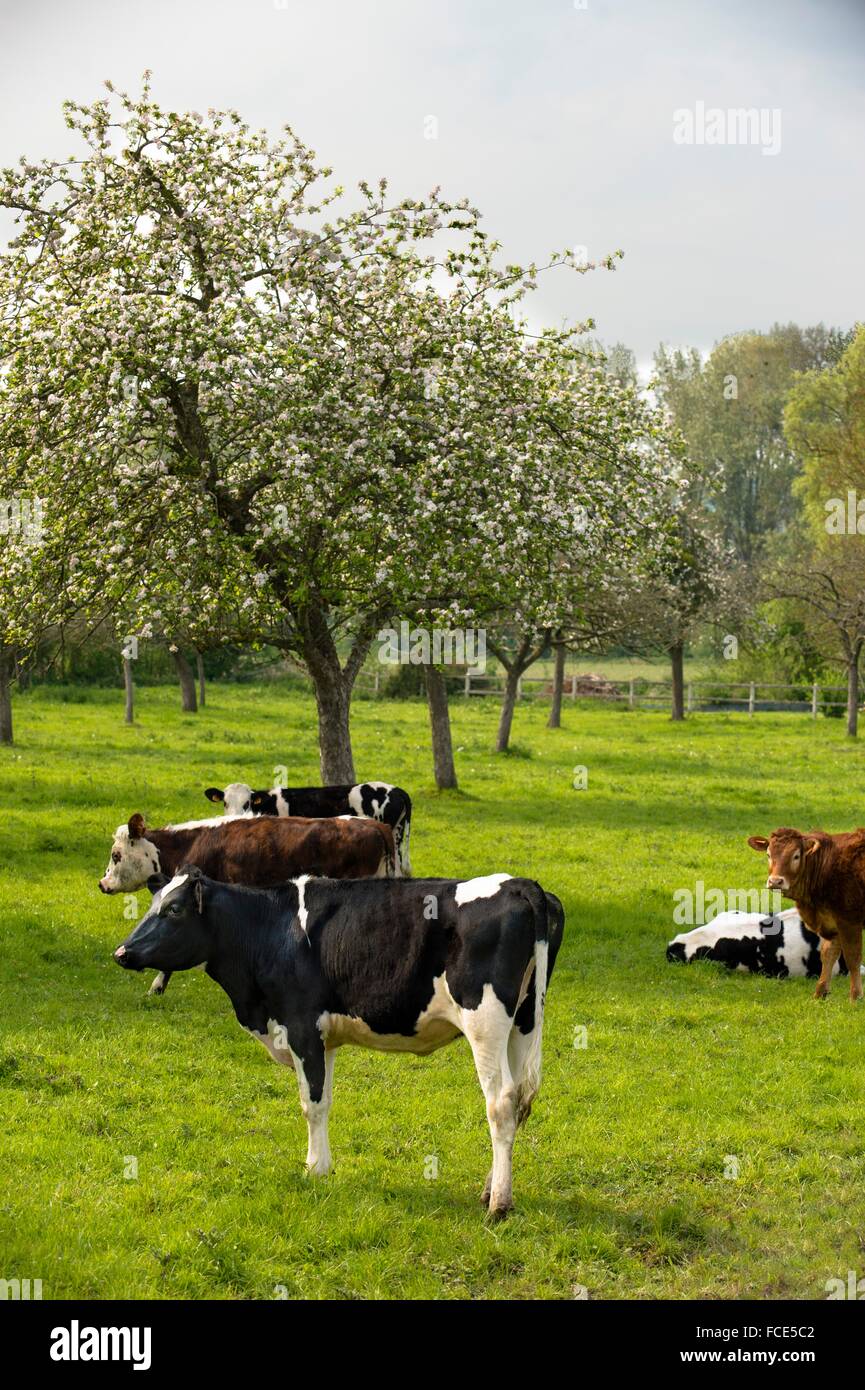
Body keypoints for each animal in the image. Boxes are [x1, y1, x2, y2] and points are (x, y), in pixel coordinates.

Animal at [113, 869, 565, 1218]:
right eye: (152, 904)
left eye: (174, 910)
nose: (121, 952)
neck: (269, 931)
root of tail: (520, 884)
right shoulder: (324, 1039)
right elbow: (325, 1100)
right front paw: (323, 1167)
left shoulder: (300, 1026)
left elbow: (310, 1105)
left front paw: (314, 1170)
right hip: (523, 1020)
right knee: (519, 1100)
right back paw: (490, 1190)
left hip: (485, 1022)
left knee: (501, 1101)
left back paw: (499, 1204)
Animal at [748, 827, 865, 1002]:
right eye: (768, 854)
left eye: (796, 856)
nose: (775, 881)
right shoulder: (831, 921)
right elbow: (828, 954)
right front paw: (820, 993)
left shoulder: (849, 921)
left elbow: (852, 958)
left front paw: (855, 997)